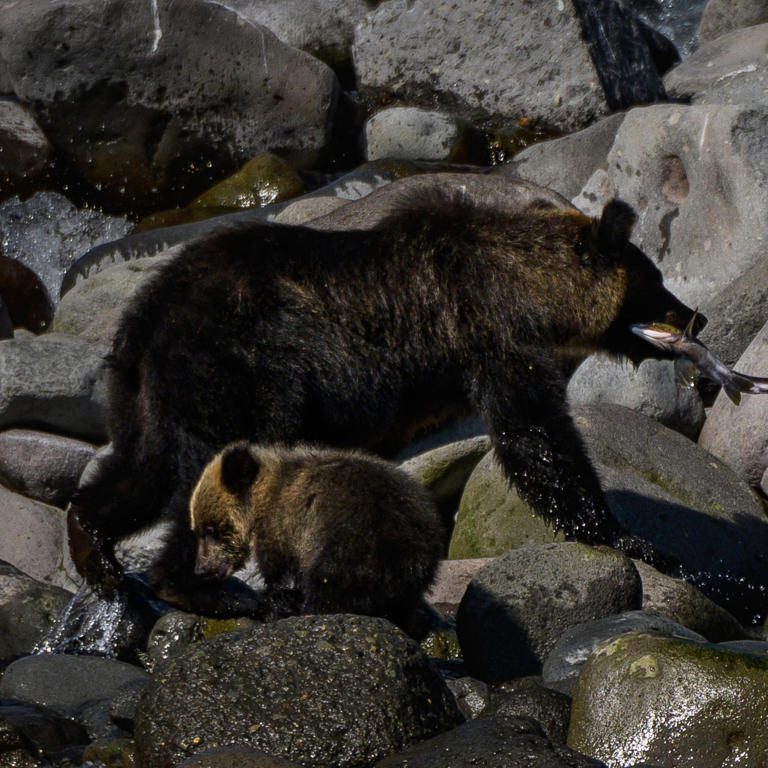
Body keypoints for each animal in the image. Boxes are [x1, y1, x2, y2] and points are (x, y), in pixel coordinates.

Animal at [189, 441, 444, 630]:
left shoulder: (283, 529)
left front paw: (274, 605)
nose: (200, 569)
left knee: (329, 589)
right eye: (197, 529)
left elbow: (281, 577)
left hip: (349, 545)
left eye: (210, 530)